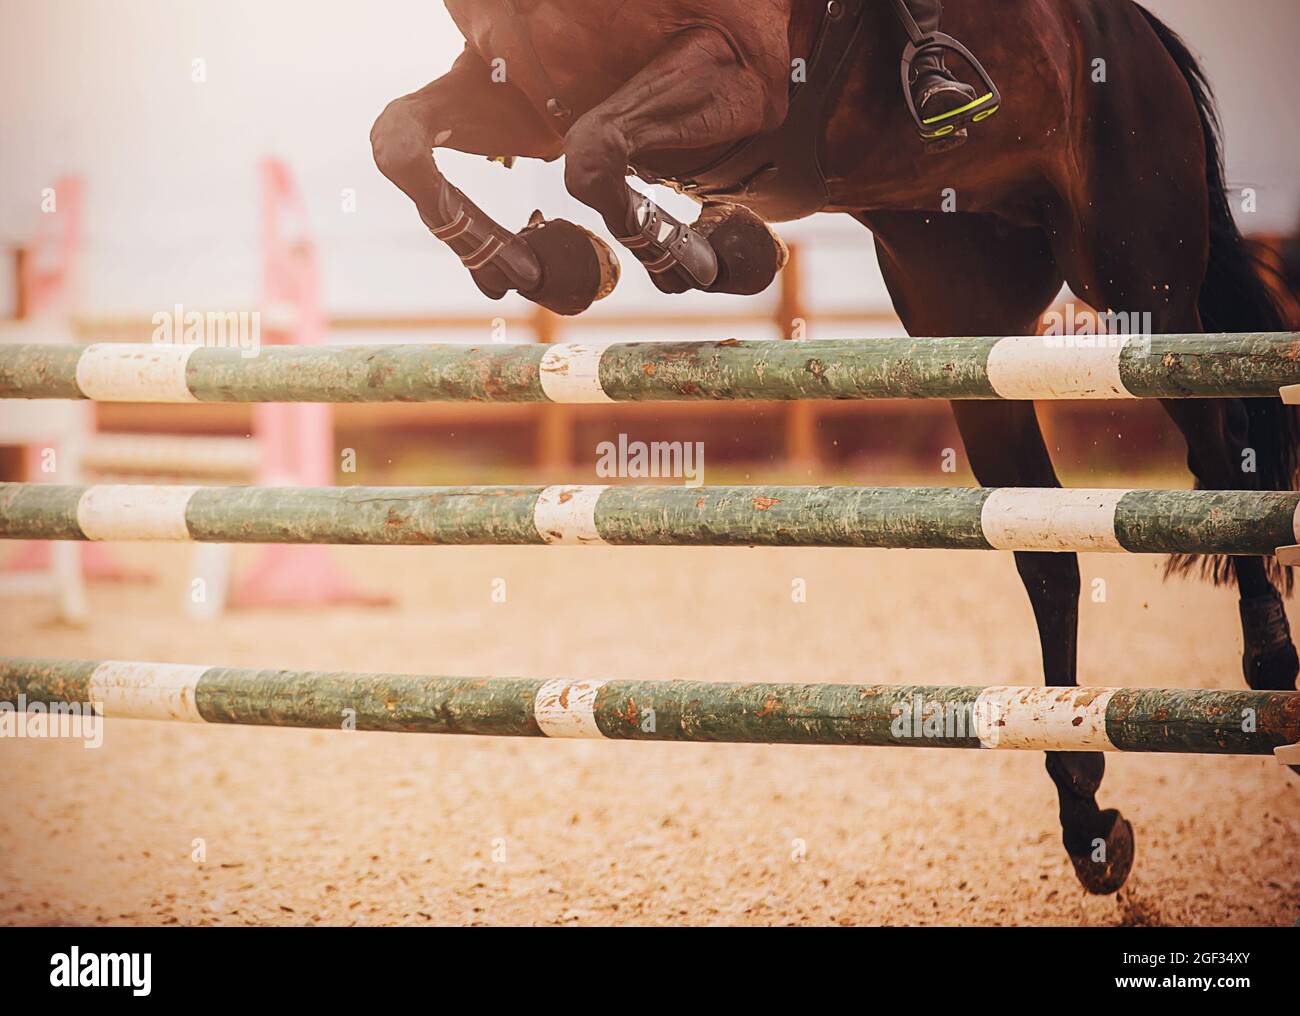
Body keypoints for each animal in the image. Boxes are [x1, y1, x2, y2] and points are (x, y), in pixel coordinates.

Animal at [369, 0, 1299, 895]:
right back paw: (1084, 810)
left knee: (1219, 454)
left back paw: (1268, 658)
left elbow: (593, 155)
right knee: (1044, 551)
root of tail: (1142, 31)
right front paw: (539, 262)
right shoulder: (527, 95)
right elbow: (399, 137)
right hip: (963, 311)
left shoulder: (737, 71)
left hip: (1140, 277)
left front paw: (711, 250)